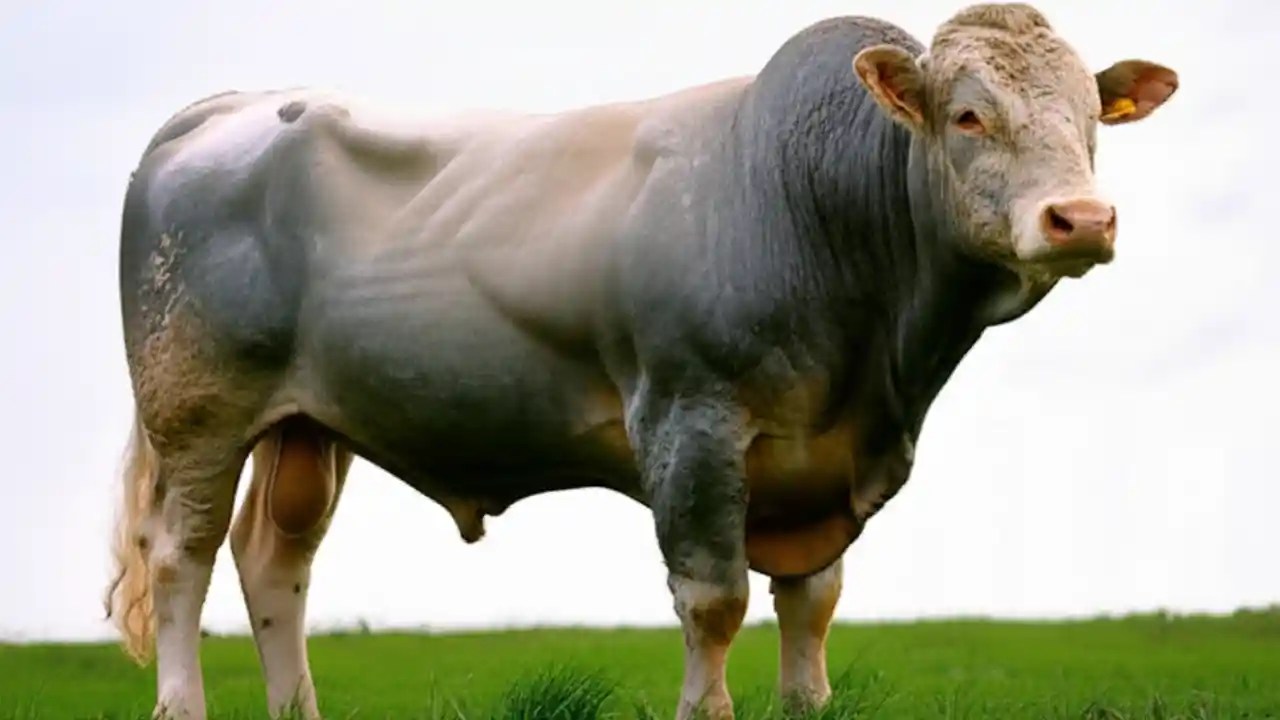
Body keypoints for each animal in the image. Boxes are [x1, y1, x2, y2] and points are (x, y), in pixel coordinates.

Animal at [103, 3, 1177, 718]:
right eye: (967, 116)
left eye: (1091, 118)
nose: (1082, 219)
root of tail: (228, 107)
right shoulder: (689, 422)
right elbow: (714, 601)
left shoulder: (817, 461)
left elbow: (813, 606)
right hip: (198, 411)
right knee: (184, 557)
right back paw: (183, 705)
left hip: (307, 426)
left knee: (274, 562)